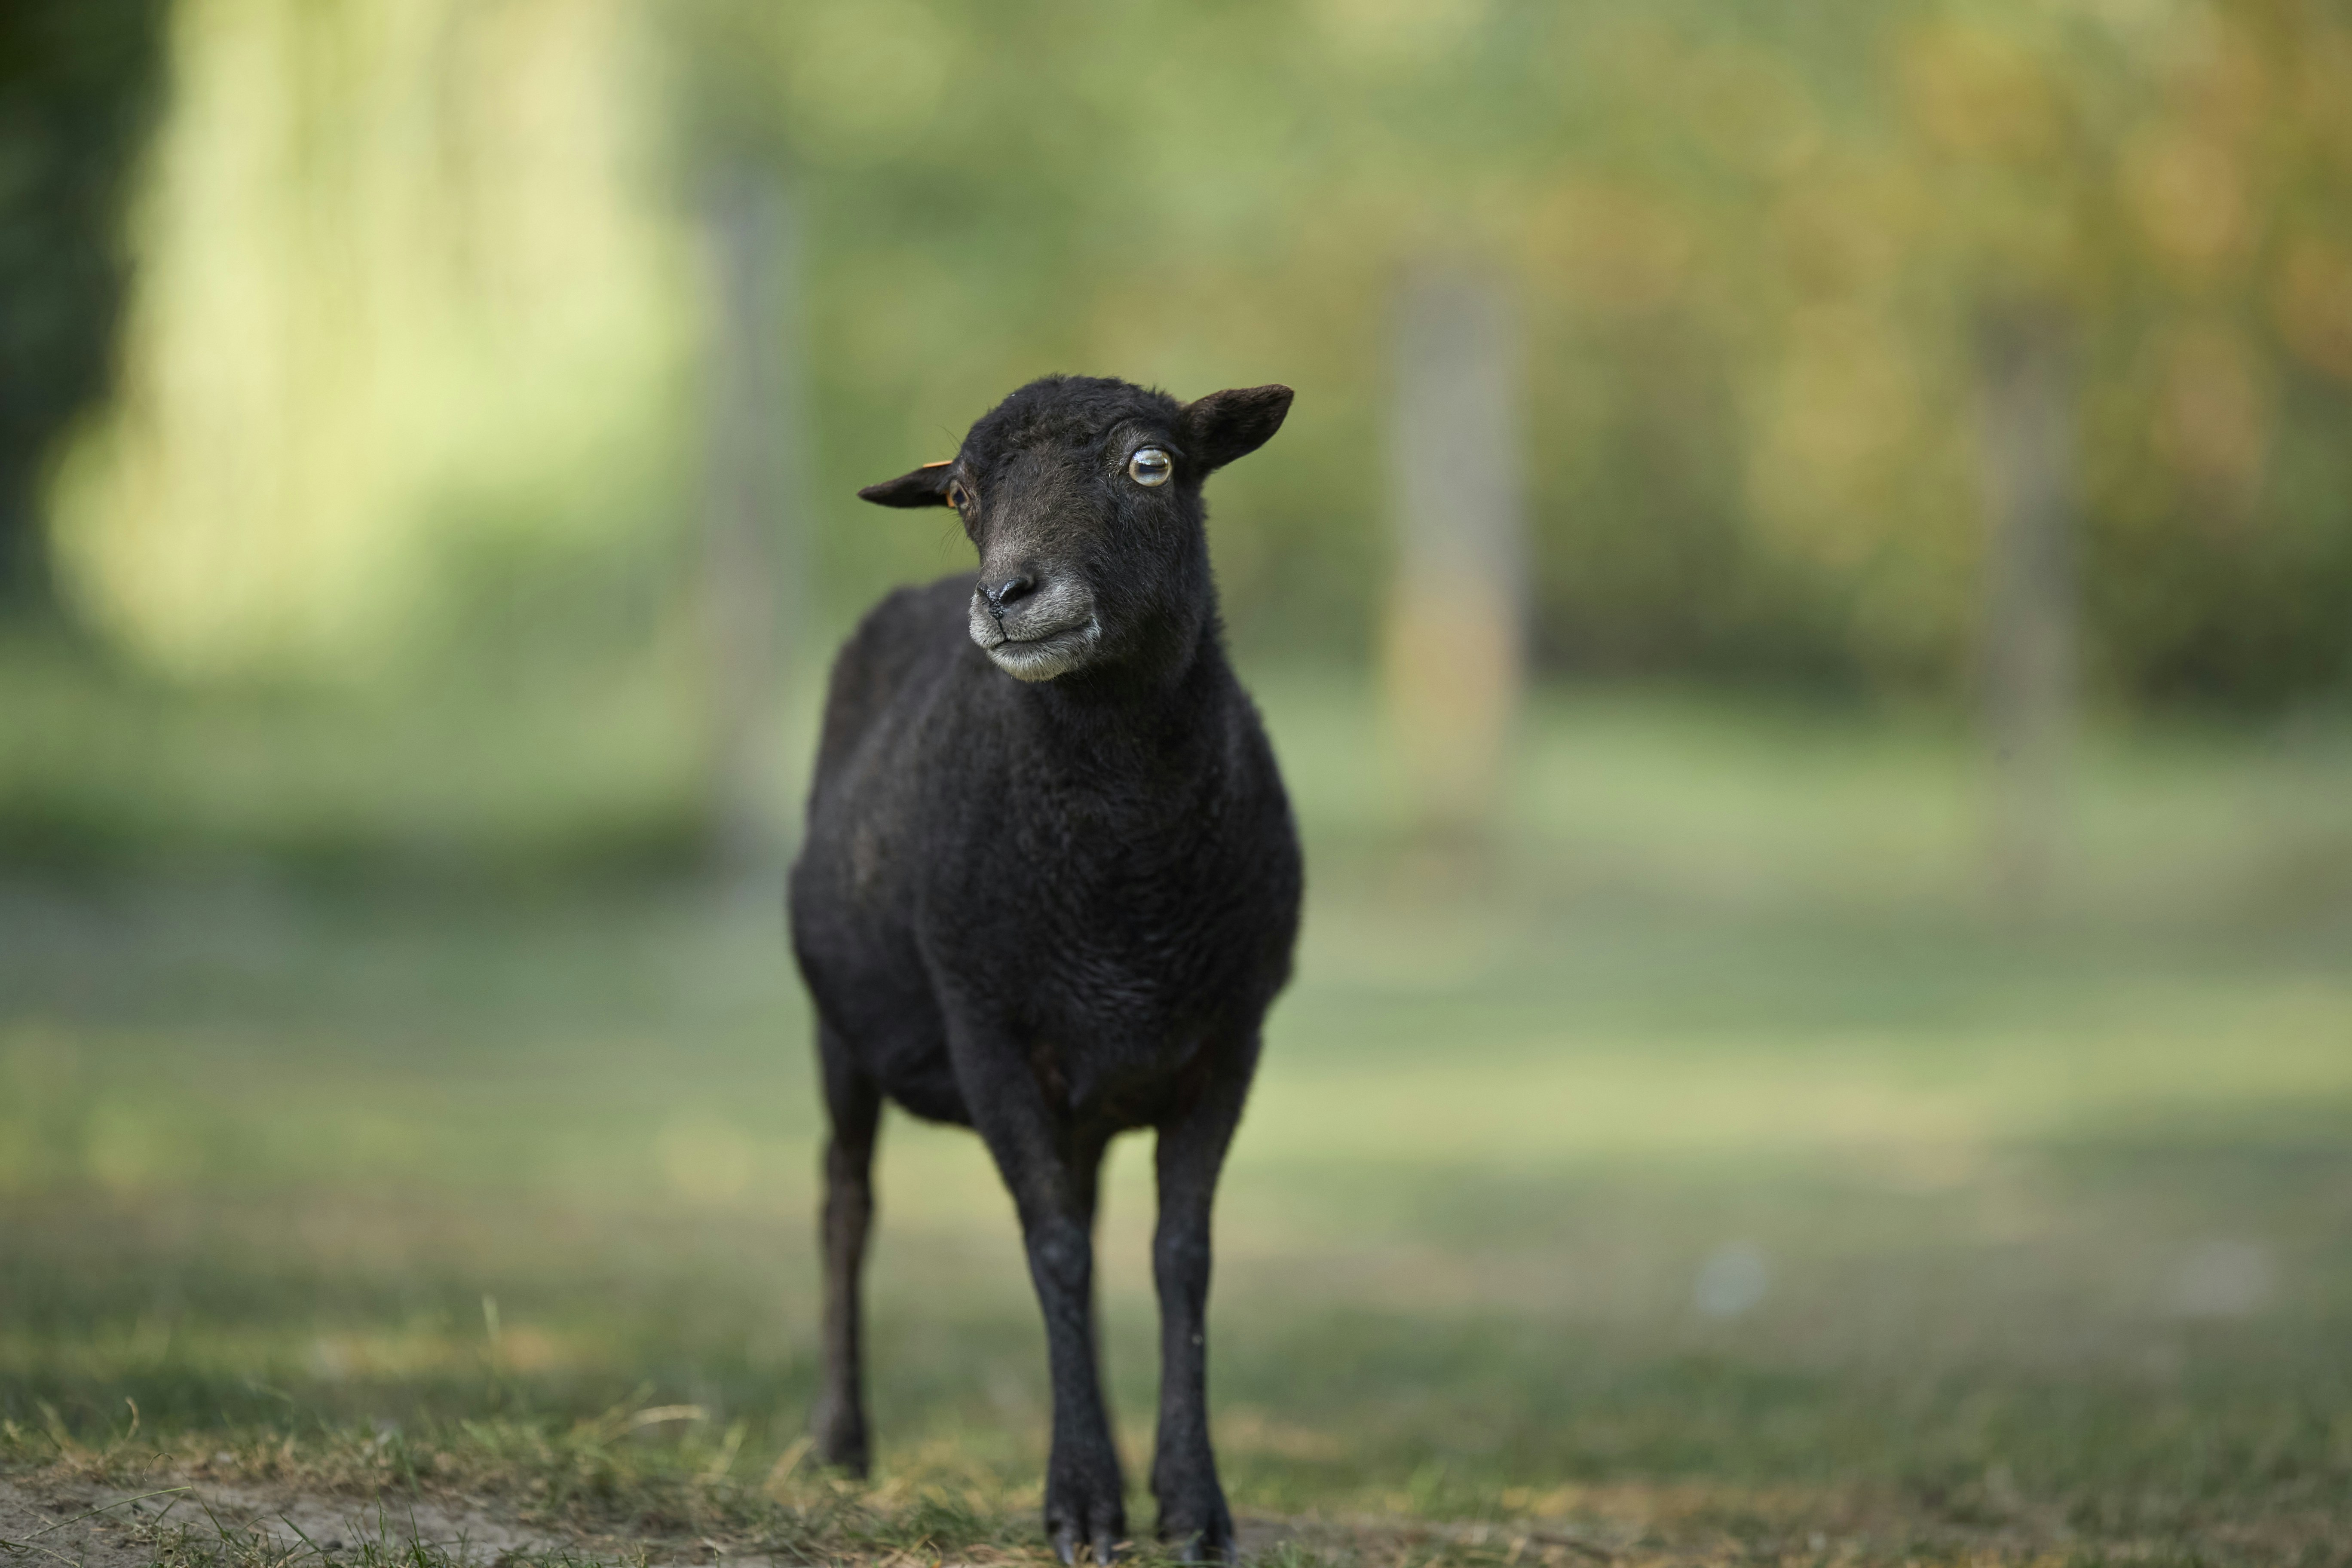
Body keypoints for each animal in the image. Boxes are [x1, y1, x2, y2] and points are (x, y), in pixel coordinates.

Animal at [787, 375, 1303, 1565]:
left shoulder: (1228, 1038)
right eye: (963, 494)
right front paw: (1080, 1502)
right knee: (847, 1202)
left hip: (1094, 1092)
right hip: (841, 1031)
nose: (1007, 595)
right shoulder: (987, 1028)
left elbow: (1178, 1255)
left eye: (1151, 465)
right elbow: (1055, 1249)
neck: (1127, 886)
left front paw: (1189, 1504)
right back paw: (840, 1441)